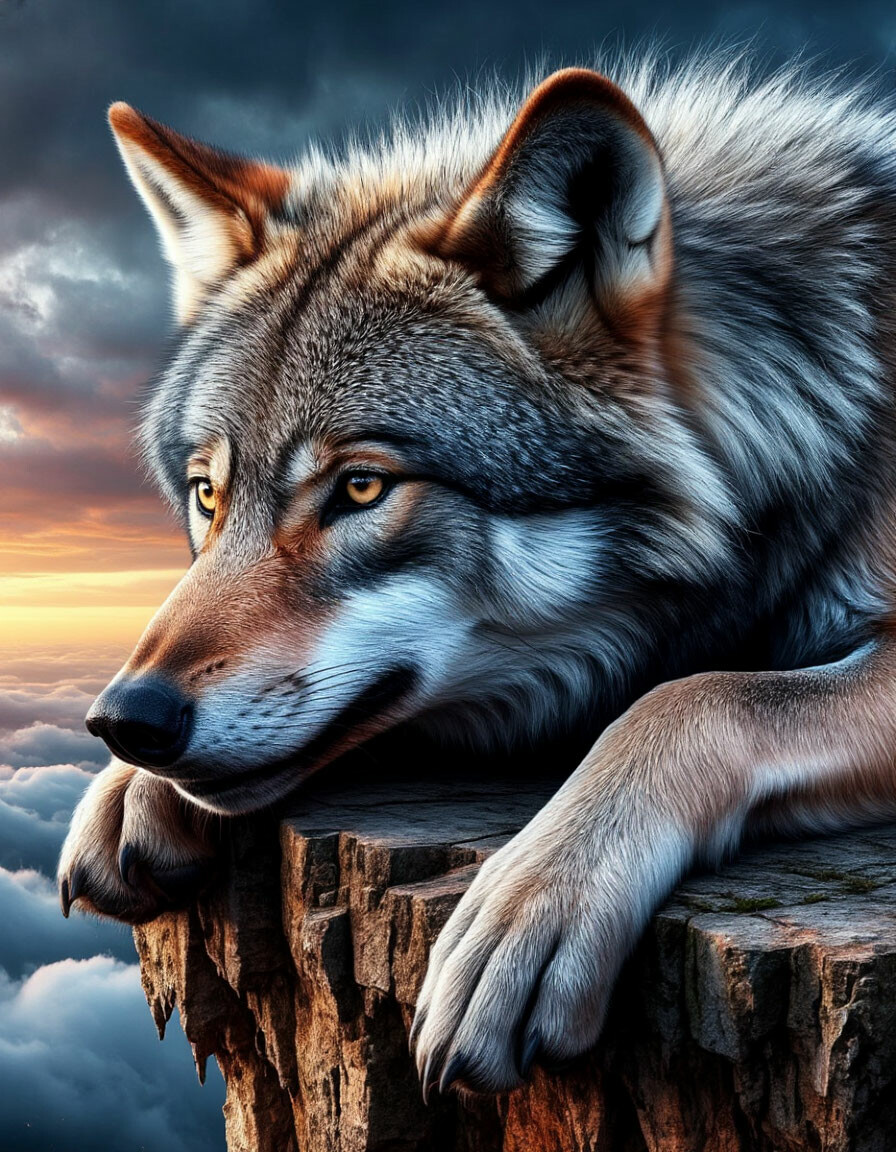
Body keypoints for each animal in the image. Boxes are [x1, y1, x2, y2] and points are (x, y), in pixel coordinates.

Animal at [58, 52, 896, 1096]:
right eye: (209, 494)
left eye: (362, 487)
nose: (126, 721)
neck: (824, 401)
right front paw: (127, 790)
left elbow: (695, 698)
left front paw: (526, 905)